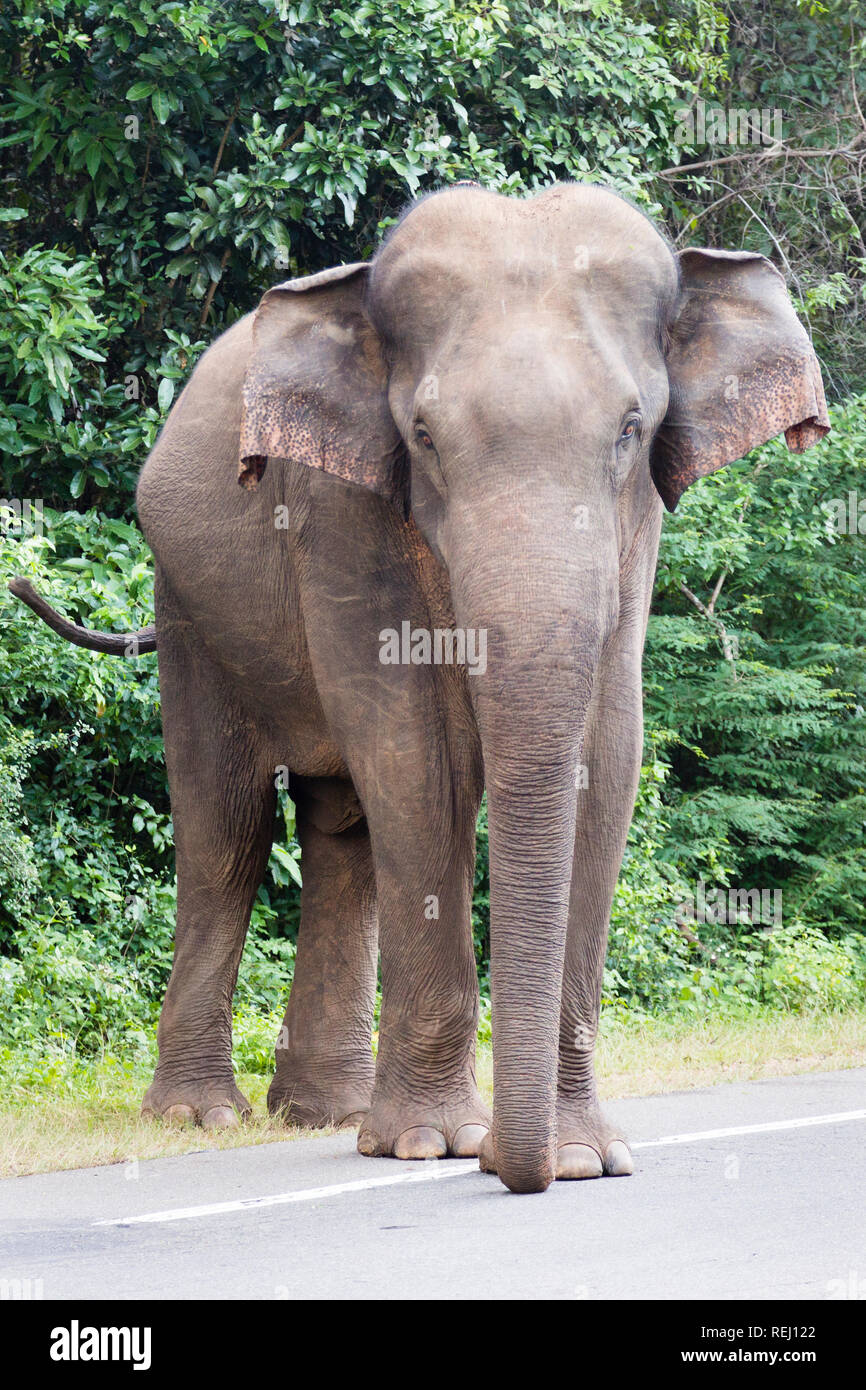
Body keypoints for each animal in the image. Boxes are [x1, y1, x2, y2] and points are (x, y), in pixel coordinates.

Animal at [10, 182, 829, 1194]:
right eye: (425, 438)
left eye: (631, 431)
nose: (513, 1167)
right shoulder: (338, 508)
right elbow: (418, 761)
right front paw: (434, 1145)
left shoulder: (637, 530)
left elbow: (608, 754)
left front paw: (586, 1159)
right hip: (191, 607)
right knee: (227, 829)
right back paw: (202, 1117)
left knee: (339, 832)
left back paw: (327, 1112)